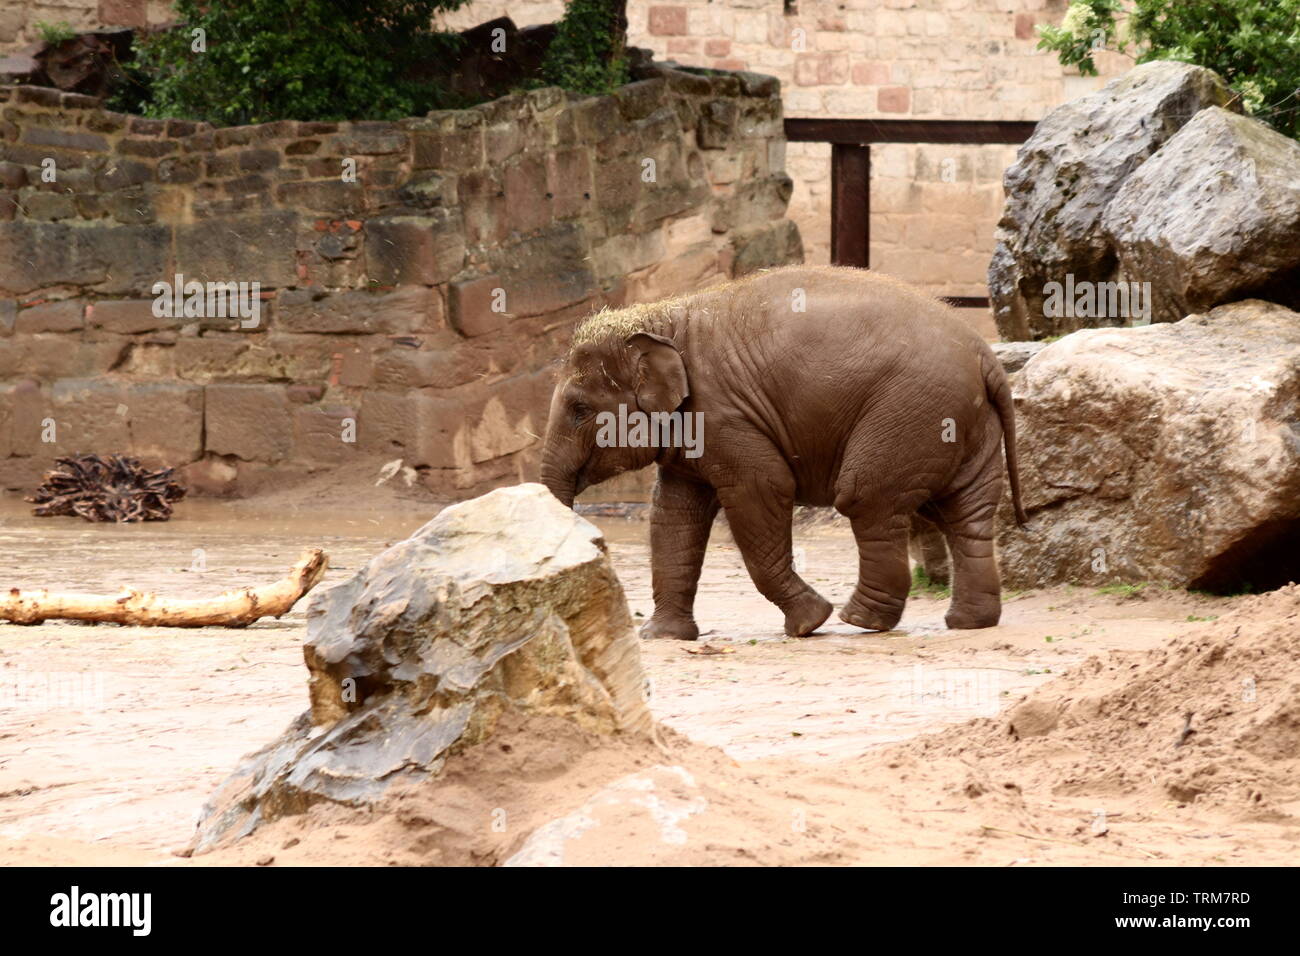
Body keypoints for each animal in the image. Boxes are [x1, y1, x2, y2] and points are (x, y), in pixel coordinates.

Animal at [540, 264, 1028, 639]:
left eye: (580, 410)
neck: (661, 318)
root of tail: (984, 354)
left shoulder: (724, 415)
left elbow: (760, 489)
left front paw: (810, 623)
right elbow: (673, 515)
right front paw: (662, 636)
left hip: (911, 409)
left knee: (865, 497)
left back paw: (861, 620)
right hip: (963, 421)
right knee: (965, 513)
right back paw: (969, 622)